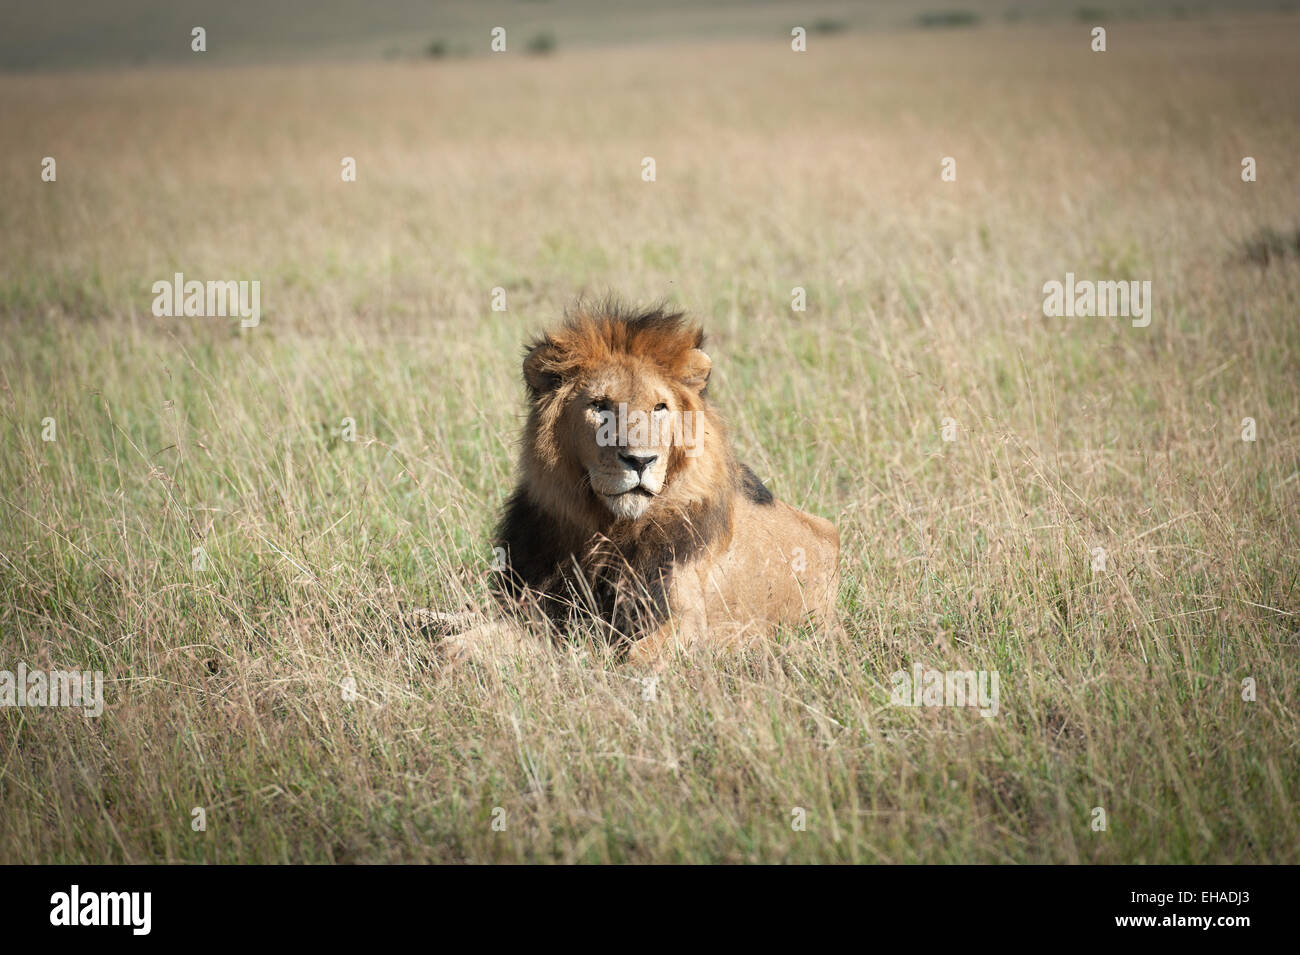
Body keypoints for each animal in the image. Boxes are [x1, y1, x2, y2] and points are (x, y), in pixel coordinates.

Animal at [445, 299, 839, 665]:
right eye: (600, 405)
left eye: (659, 408)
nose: (640, 461)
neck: (607, 530)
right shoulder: (542, 607)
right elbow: (459, 642)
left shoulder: (686, 620)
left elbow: (634, 656)